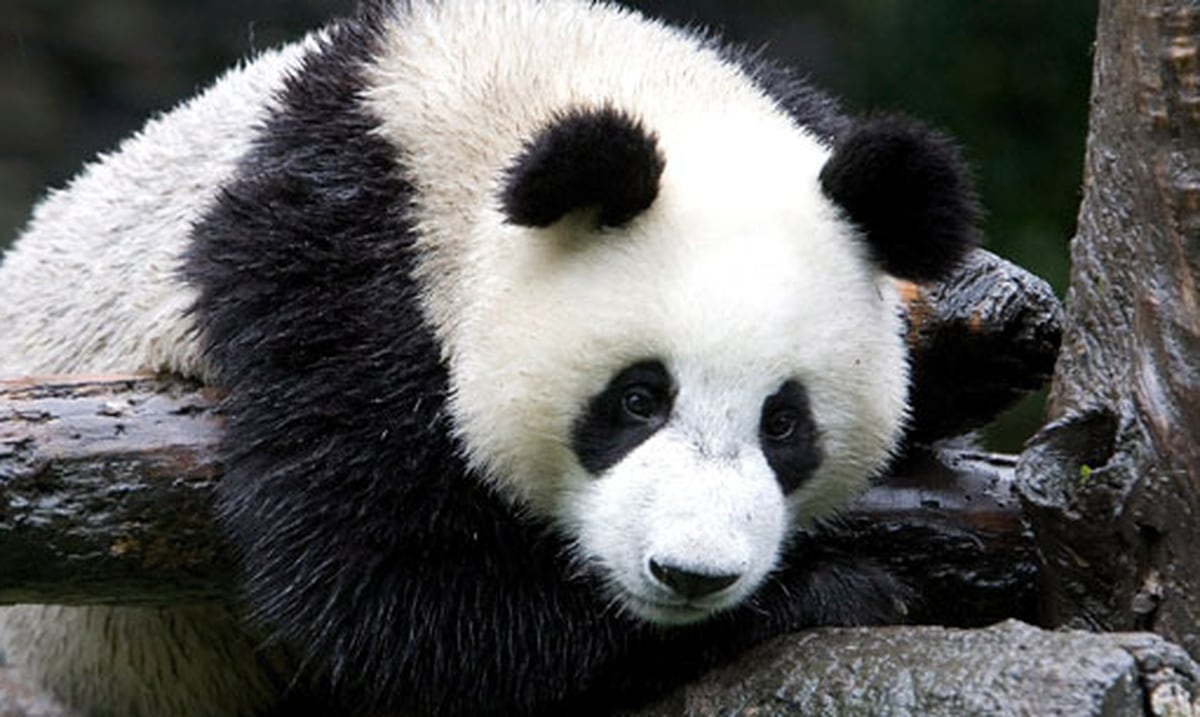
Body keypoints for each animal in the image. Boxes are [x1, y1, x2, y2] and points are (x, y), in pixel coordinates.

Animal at [0, 1, 979, 716]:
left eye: (785, 423)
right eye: (638, 399)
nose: (691, 575)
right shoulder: (331, 258)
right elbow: (391, 589)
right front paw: (842, 592)